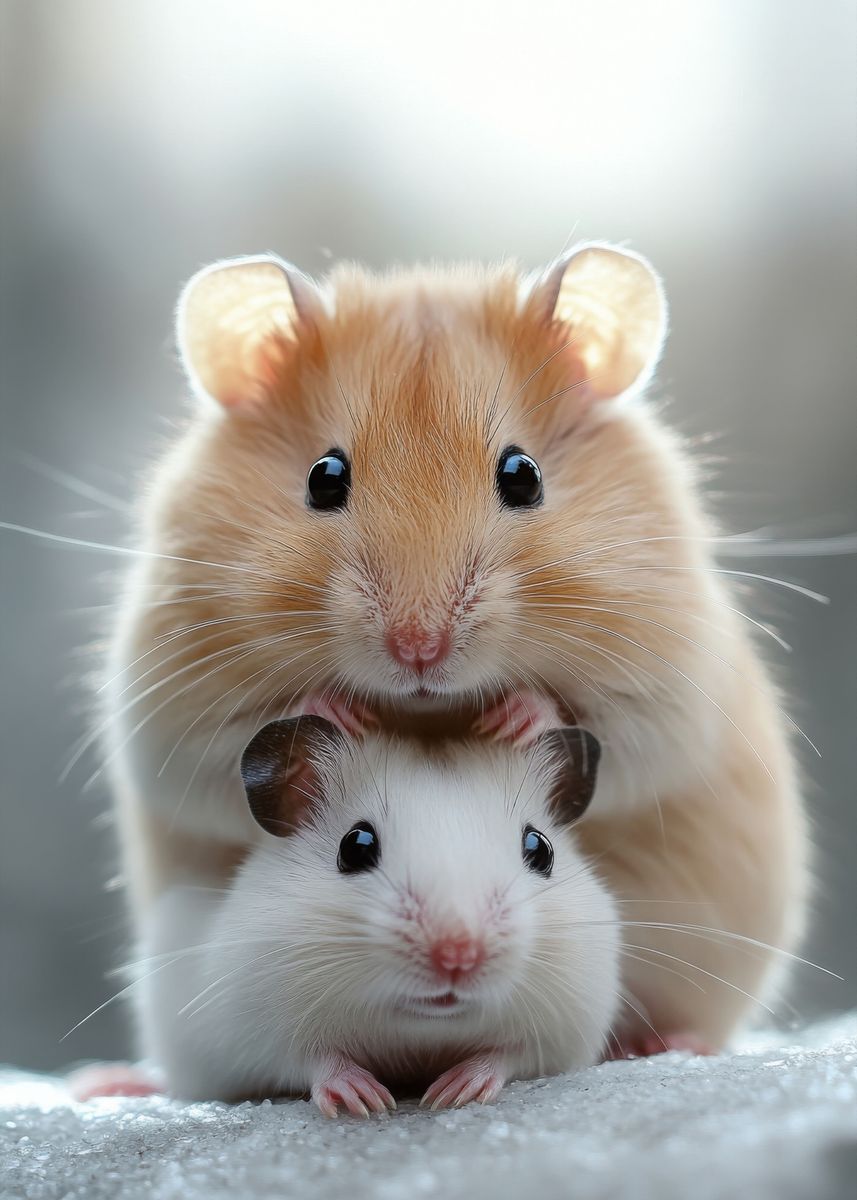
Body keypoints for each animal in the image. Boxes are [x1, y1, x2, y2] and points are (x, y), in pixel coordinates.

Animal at [106, 245, 807, 1055]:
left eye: (522, 475)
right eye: (324, 477)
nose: (419, 647)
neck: (427, 706)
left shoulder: (670, 695)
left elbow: (610, 733)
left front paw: (513, 715)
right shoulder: (168, 718)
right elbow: (227, 751)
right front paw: (340, 708)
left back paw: (669, 1045)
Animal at [138, 717, 619, 1112]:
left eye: (541, 849)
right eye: (355, 846)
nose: (457, 957)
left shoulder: (565, 1030)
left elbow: (507, 1055)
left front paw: (450, 1094)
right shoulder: (254, 1029)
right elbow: (313, 1060)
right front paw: (367, 1101)